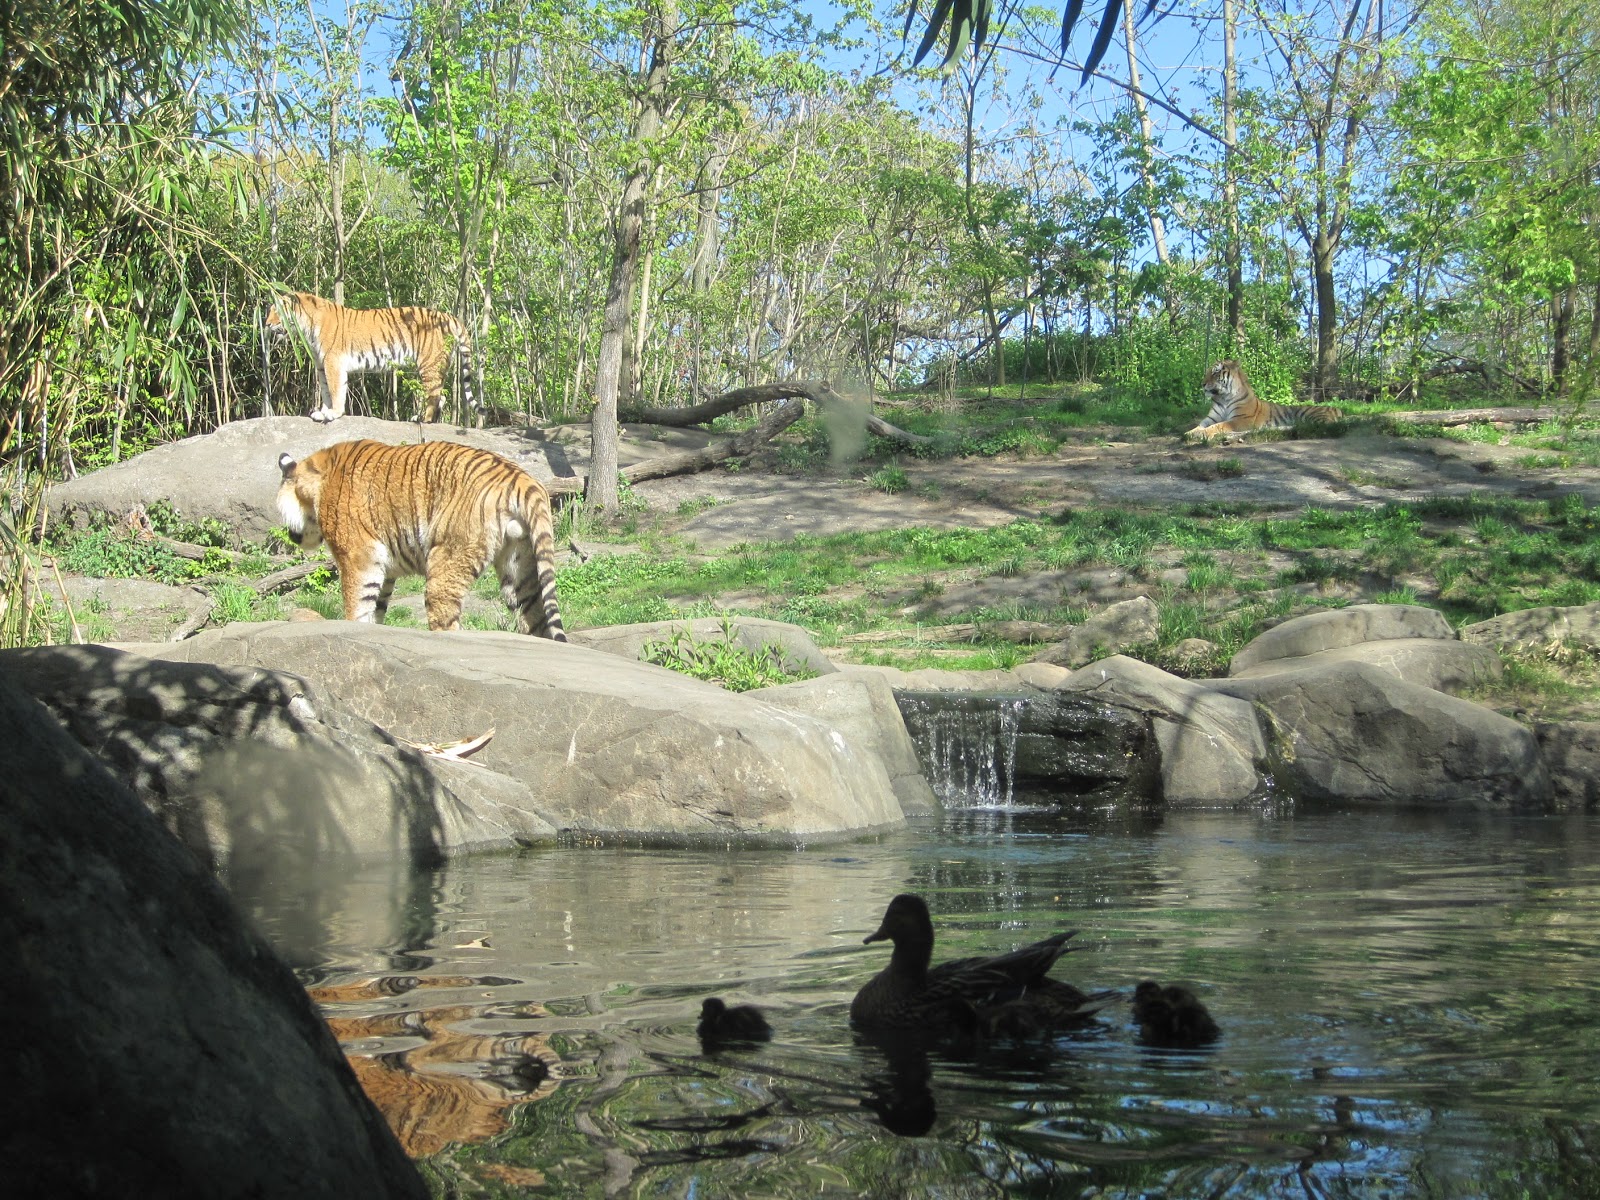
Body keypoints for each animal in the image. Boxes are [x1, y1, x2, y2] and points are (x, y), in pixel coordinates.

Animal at [266, 290, 476, 424]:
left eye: (278, 311)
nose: (267, 324)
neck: (306, 328)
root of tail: (449, 316)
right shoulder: (321, 364)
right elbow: (325, 390)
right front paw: (323, 412)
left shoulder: (332, 361)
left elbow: (335, 390)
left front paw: (332, 414)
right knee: (441, 396)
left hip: (429, 363)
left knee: (434, 395)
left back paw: (425, 419)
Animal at [276, 439, 566, 640]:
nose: (290, 536)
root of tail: (521, 478)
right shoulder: (385, 569)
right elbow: (376, 609)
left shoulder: (359, 556)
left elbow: (357, 605)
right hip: (519, 566)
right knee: (536, 617)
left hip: (447, 559)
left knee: (446, 617)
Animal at [1186, 359, 1339, 441]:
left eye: (1216, 372)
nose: (1202, 384)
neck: (1223, 397)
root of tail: (1337, 408)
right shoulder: (1210, 418)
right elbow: (1200, 425)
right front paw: (1190, 433)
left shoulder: (1241, 419)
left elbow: (1220, 425)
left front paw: (1203, 433)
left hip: (1309, 414)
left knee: (1313, 426)